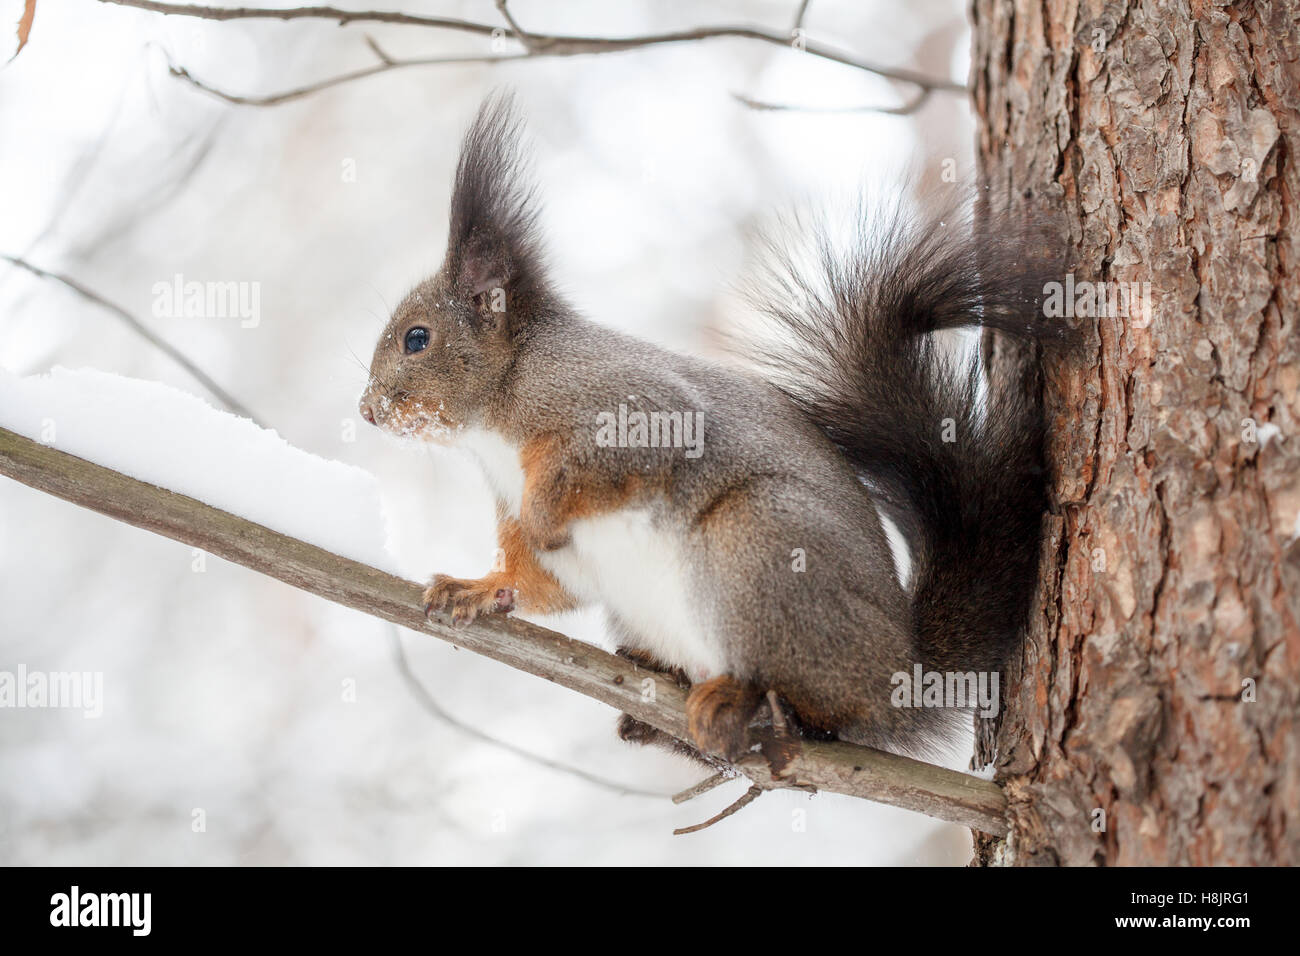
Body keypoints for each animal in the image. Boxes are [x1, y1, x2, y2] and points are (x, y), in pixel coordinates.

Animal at [359, 94, 1074, 764]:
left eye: (417, 338)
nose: (367, 412)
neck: (499, 413)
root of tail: (899, 676)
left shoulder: (619, 403)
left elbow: (612, 466)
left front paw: (541, 518)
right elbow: (542, 581)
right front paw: (476, 589)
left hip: (758, 546)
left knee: (817, 704)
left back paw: (739, 696)